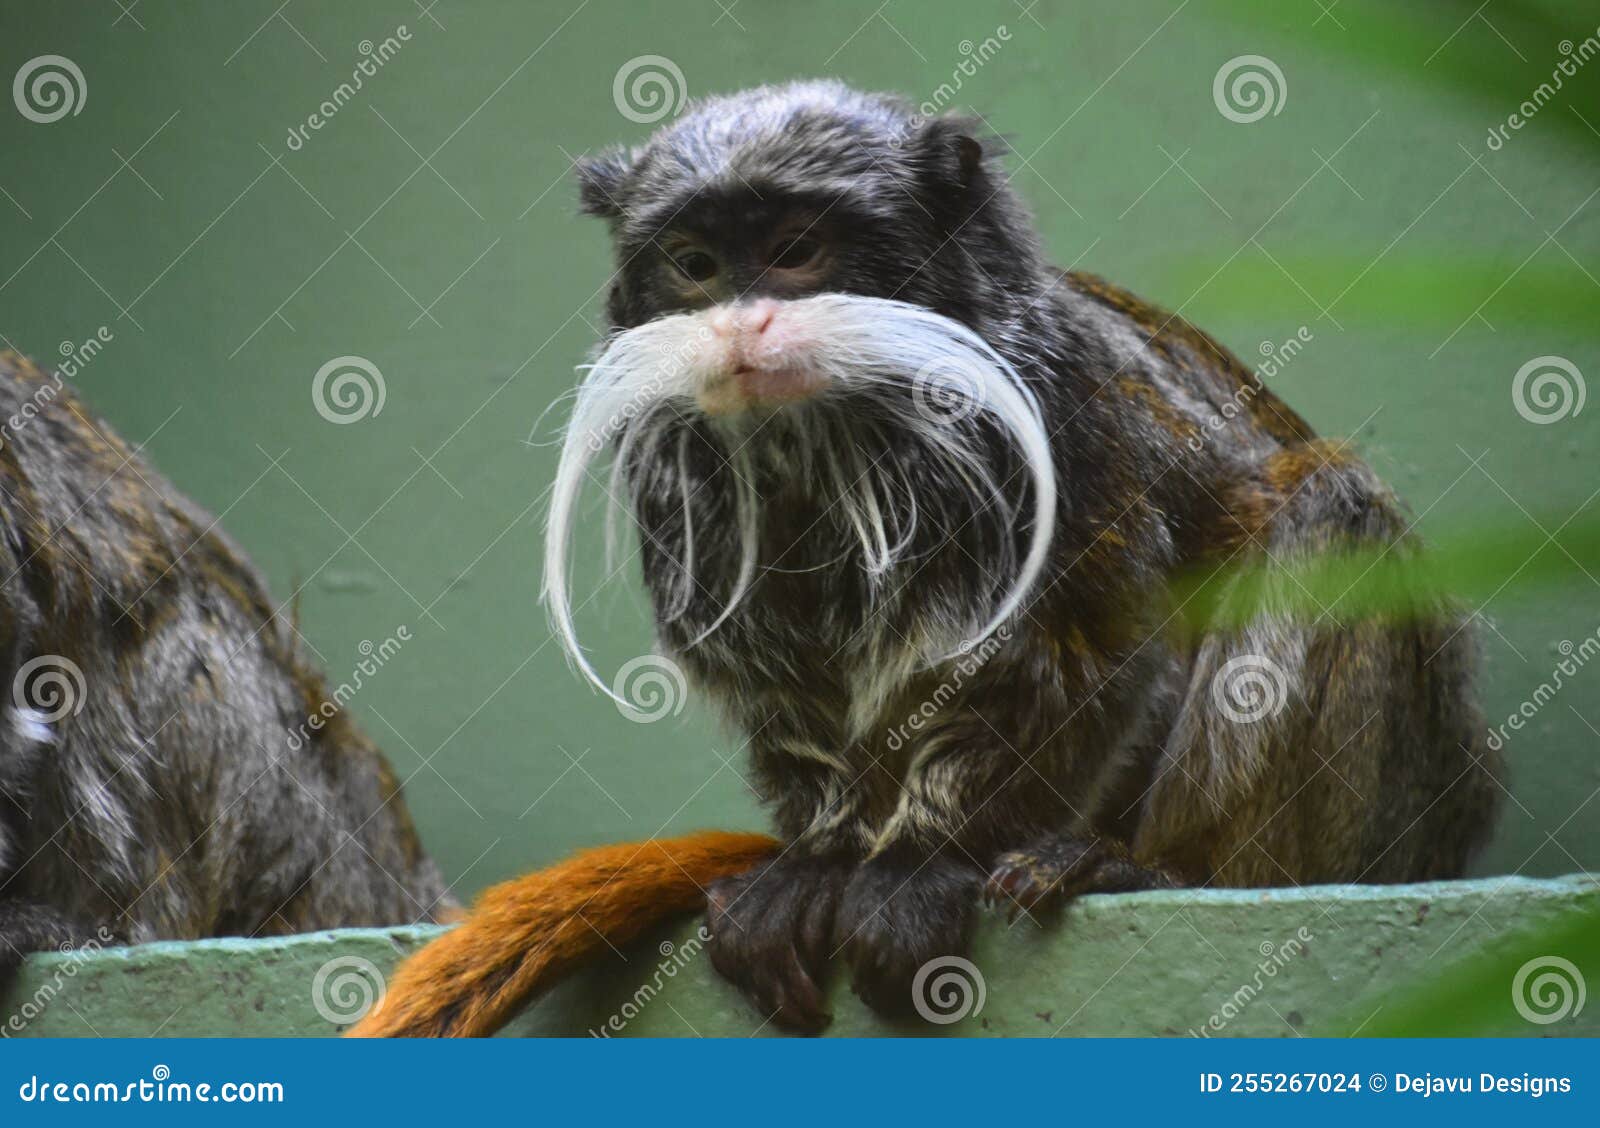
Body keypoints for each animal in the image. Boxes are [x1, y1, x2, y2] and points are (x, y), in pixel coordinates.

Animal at [350, 80, 1501, 1037]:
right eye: (695, 265)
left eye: (798, 249)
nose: (741, 324)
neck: (833, 438)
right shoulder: (679, 486)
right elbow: (787, 691)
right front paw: (821, 860)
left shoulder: (1059, 419)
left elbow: (1075, 654)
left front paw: (920, 861)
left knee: (1333, 517)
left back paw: (1157, 873)